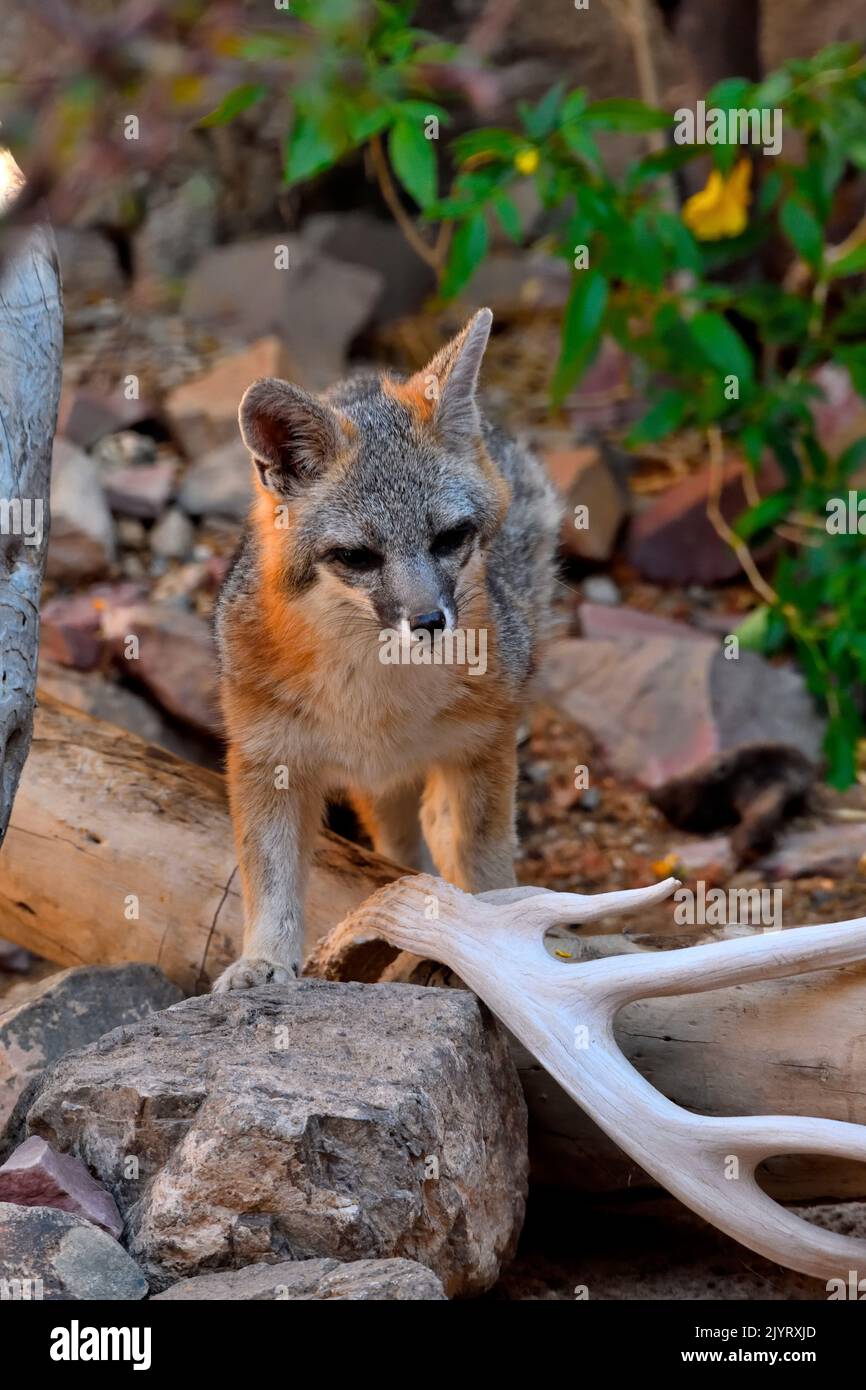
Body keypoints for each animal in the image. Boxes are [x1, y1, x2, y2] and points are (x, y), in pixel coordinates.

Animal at [212, 307, 561, 992]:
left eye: (449, 538)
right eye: (357, 557)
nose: (428, 621)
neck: (375, 699)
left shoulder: (481, 746)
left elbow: (483, 862)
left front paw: (490, 940)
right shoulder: (267, 757)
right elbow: (270, 878)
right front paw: (264, 960)